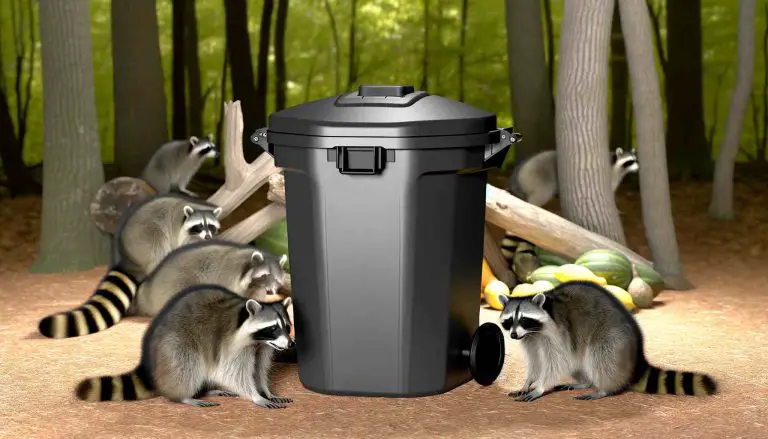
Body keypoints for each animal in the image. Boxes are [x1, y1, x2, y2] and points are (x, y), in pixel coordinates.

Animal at [37, 194, 222, 339]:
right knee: (158, 246)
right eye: (199, 226)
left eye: (211, 226)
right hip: (146, 238)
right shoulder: (179, 231)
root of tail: (128, 257)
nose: (207, 236)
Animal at [75, 284, 295, 409]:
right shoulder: (232, 346)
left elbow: (259, 370)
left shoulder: (262, 347)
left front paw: (266, 391)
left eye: (287, 326)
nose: (291, 343)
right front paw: (255, 396)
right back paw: (184, 396)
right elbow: (233, 374)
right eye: (273, 327)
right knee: (188, 366)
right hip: (175, 346)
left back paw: (206, 389)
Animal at [498, 281, 717, 402]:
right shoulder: (531, 338)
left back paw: (604, 389)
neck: (533, 330)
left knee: (600, 358)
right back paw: (584, 382)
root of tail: (638, 352)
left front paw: (541, 387)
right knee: (580, 360)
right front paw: (528, 382)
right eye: (509, 321)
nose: (513, 335)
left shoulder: (555, 333)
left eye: (524, 319)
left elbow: (557, 362)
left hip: (612, 338)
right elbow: (536, 361)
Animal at [507, 147, 639, 207]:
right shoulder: (611, 176)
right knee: (542, 193)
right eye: (630, 161)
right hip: (538, 177)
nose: (638, 168)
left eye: (635, 160)